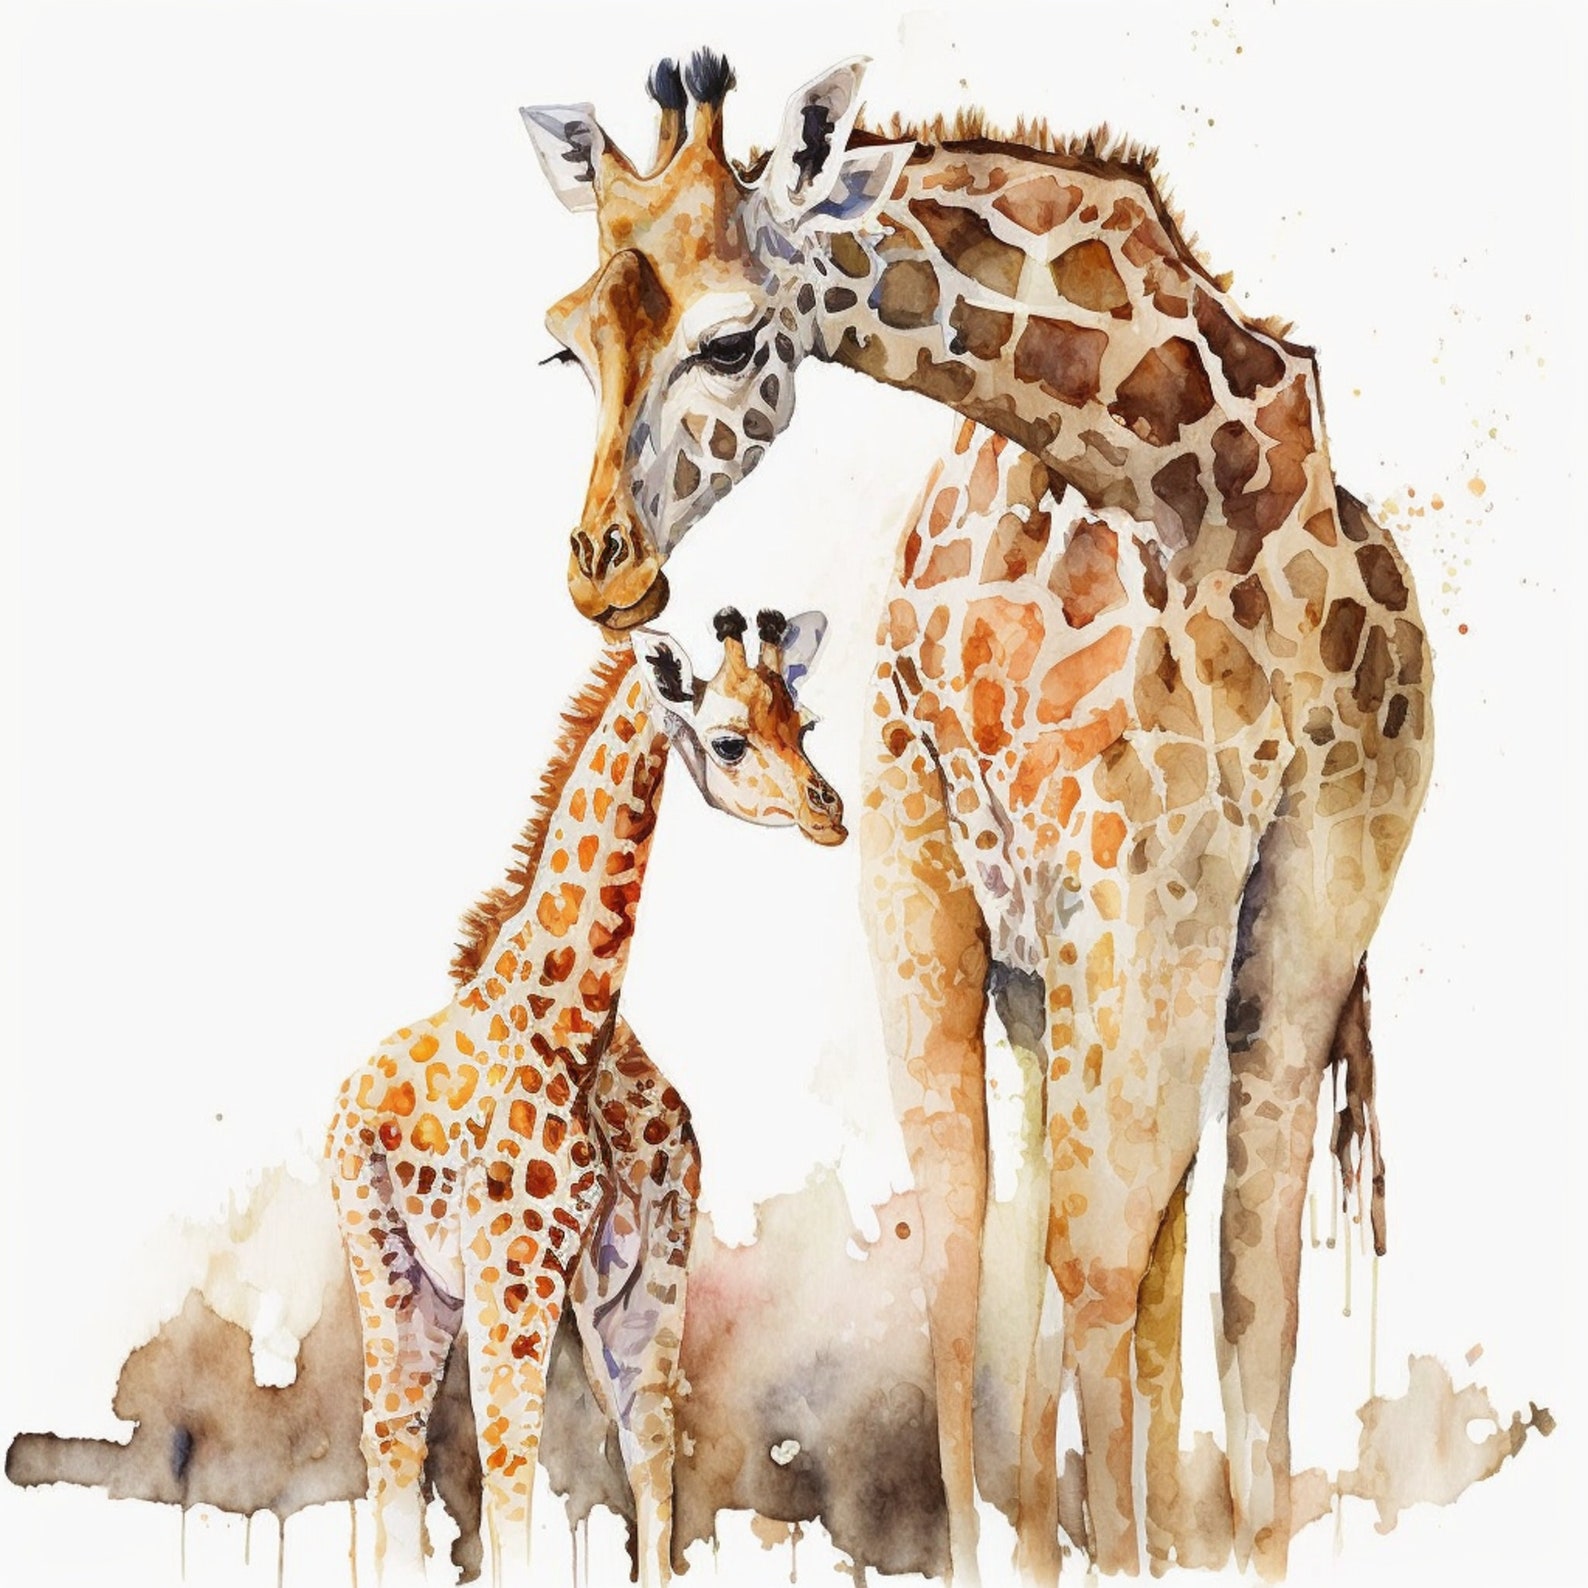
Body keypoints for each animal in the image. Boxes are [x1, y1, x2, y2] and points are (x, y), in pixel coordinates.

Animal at [327, 608, 844, 1587]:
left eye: (807, 725)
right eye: (730, 739)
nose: (828, 810)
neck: (578, 1024)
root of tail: (350, 1096)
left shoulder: (646, 1280)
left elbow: (650, 1456)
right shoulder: (514, 1269)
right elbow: (511, 1473)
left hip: (440, 1288)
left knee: (399, 1438)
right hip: (387, 1259)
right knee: (394, 1433)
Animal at [519, 52, 1433, 1579]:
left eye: (729, 341)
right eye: (566, 341)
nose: (606, 571)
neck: (1150, 456)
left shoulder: (1150, 886)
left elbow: (1107, 1264)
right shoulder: (935, 879)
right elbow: (970, 1261)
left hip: (1285, 938)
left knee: (1238, 1260)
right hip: (1074, 978)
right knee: (1136, 1254)